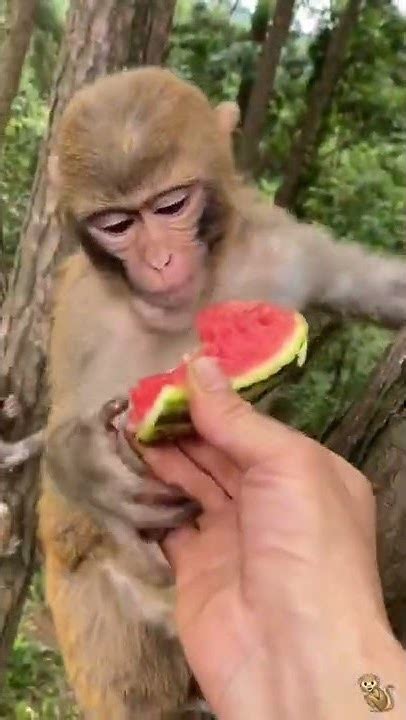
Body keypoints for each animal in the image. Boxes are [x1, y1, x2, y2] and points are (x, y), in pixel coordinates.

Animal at [17, 65, 406, 718]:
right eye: (117, 223)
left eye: (171, 204)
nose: (160, 260)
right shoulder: (82, 312)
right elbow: (60, 429)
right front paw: (92, 470)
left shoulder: (284, 250)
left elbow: (378, 285)